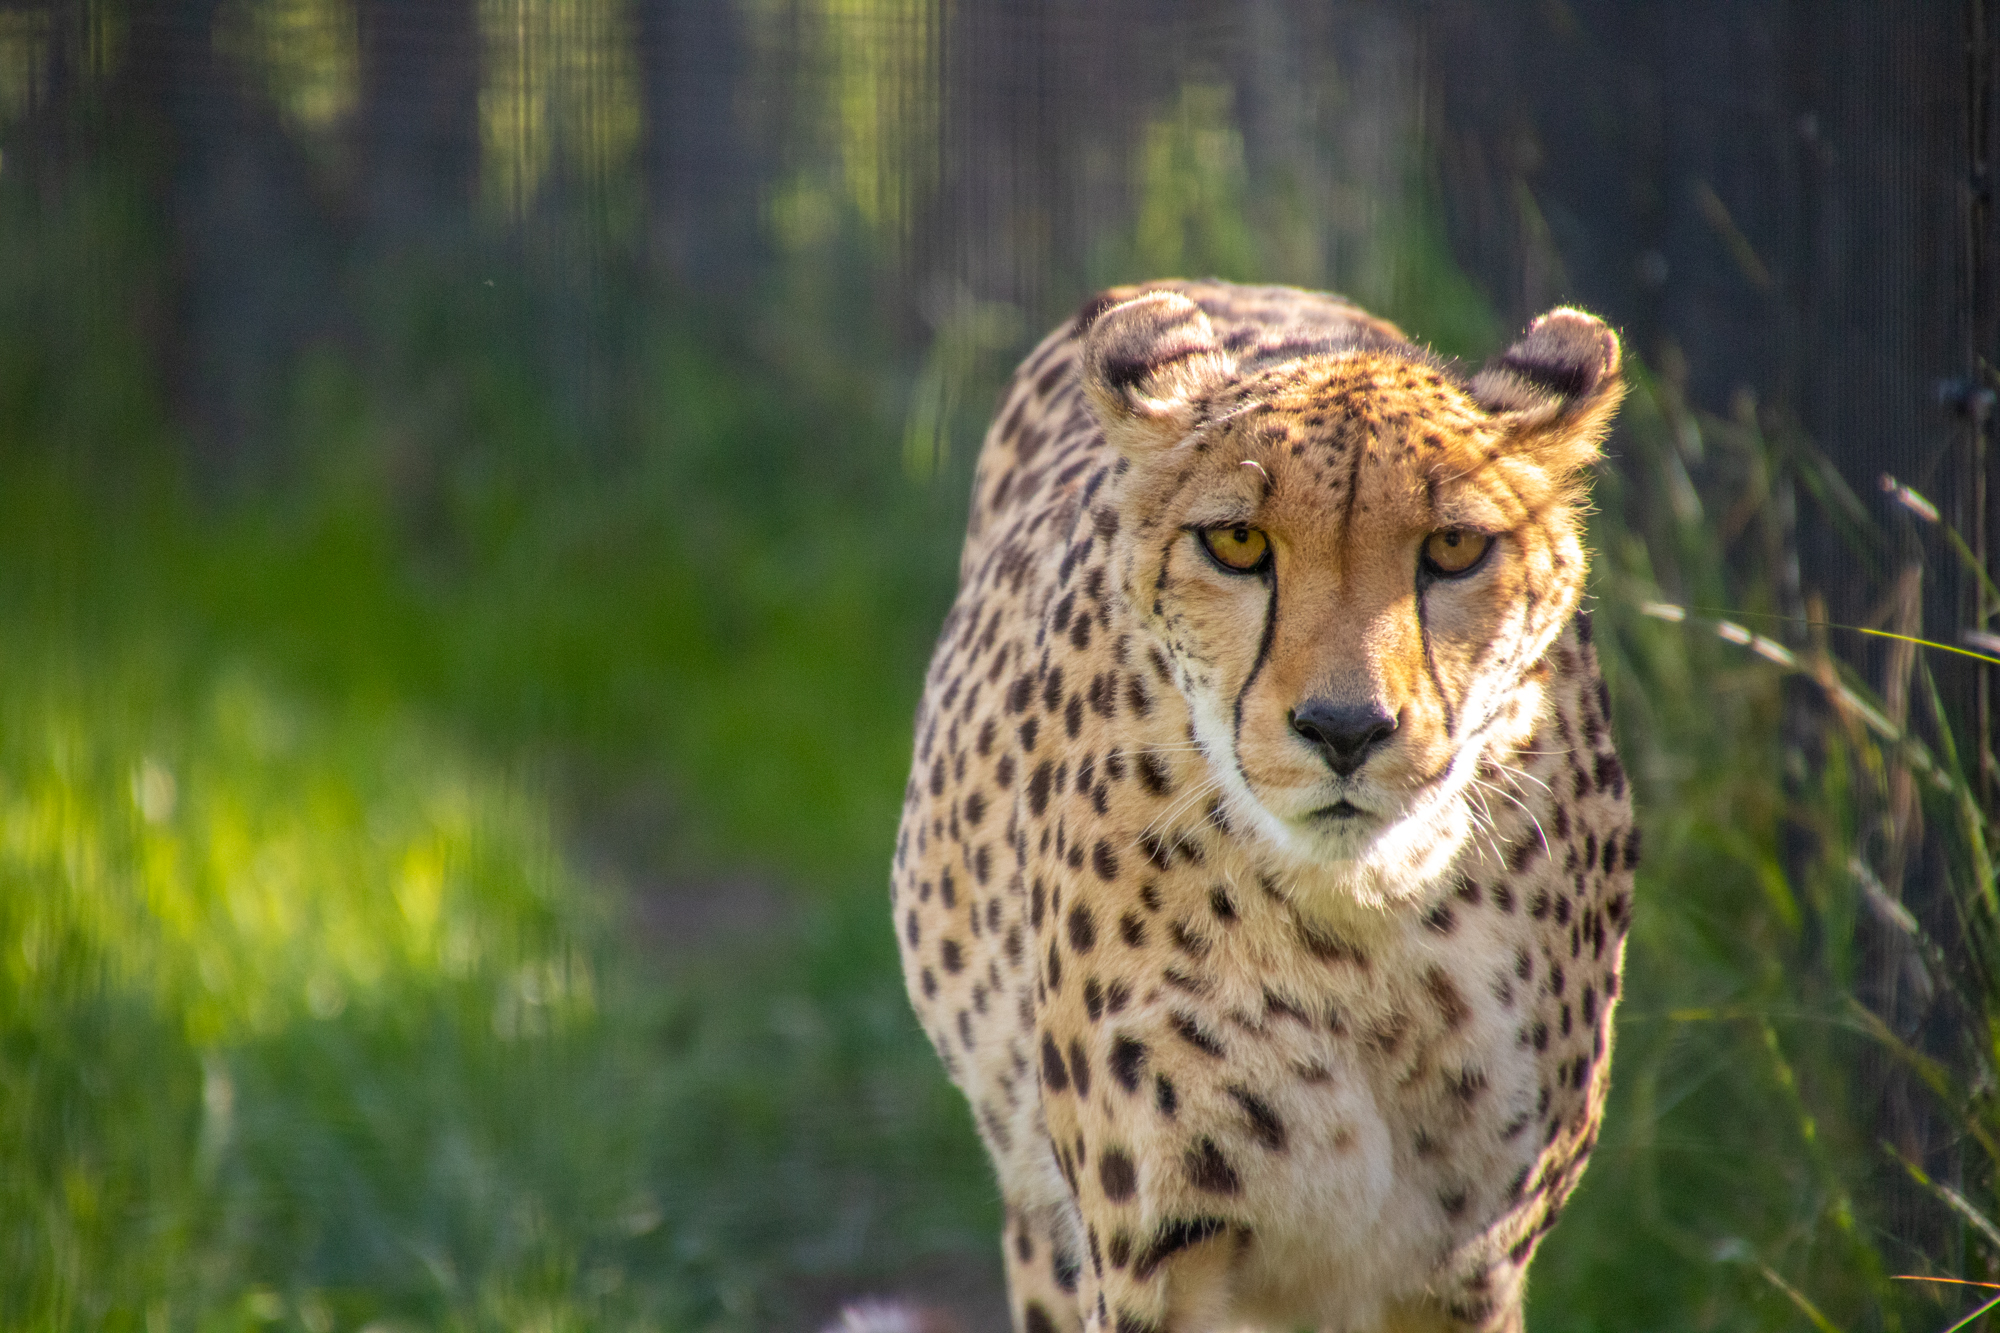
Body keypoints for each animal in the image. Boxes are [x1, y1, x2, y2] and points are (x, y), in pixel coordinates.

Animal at [891, 279, 1636, 1333]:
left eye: (1454, 546)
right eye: (1237, 541)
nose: (1345, 727)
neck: (1365, 917)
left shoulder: (1468, 1264)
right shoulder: (1156, 1262)